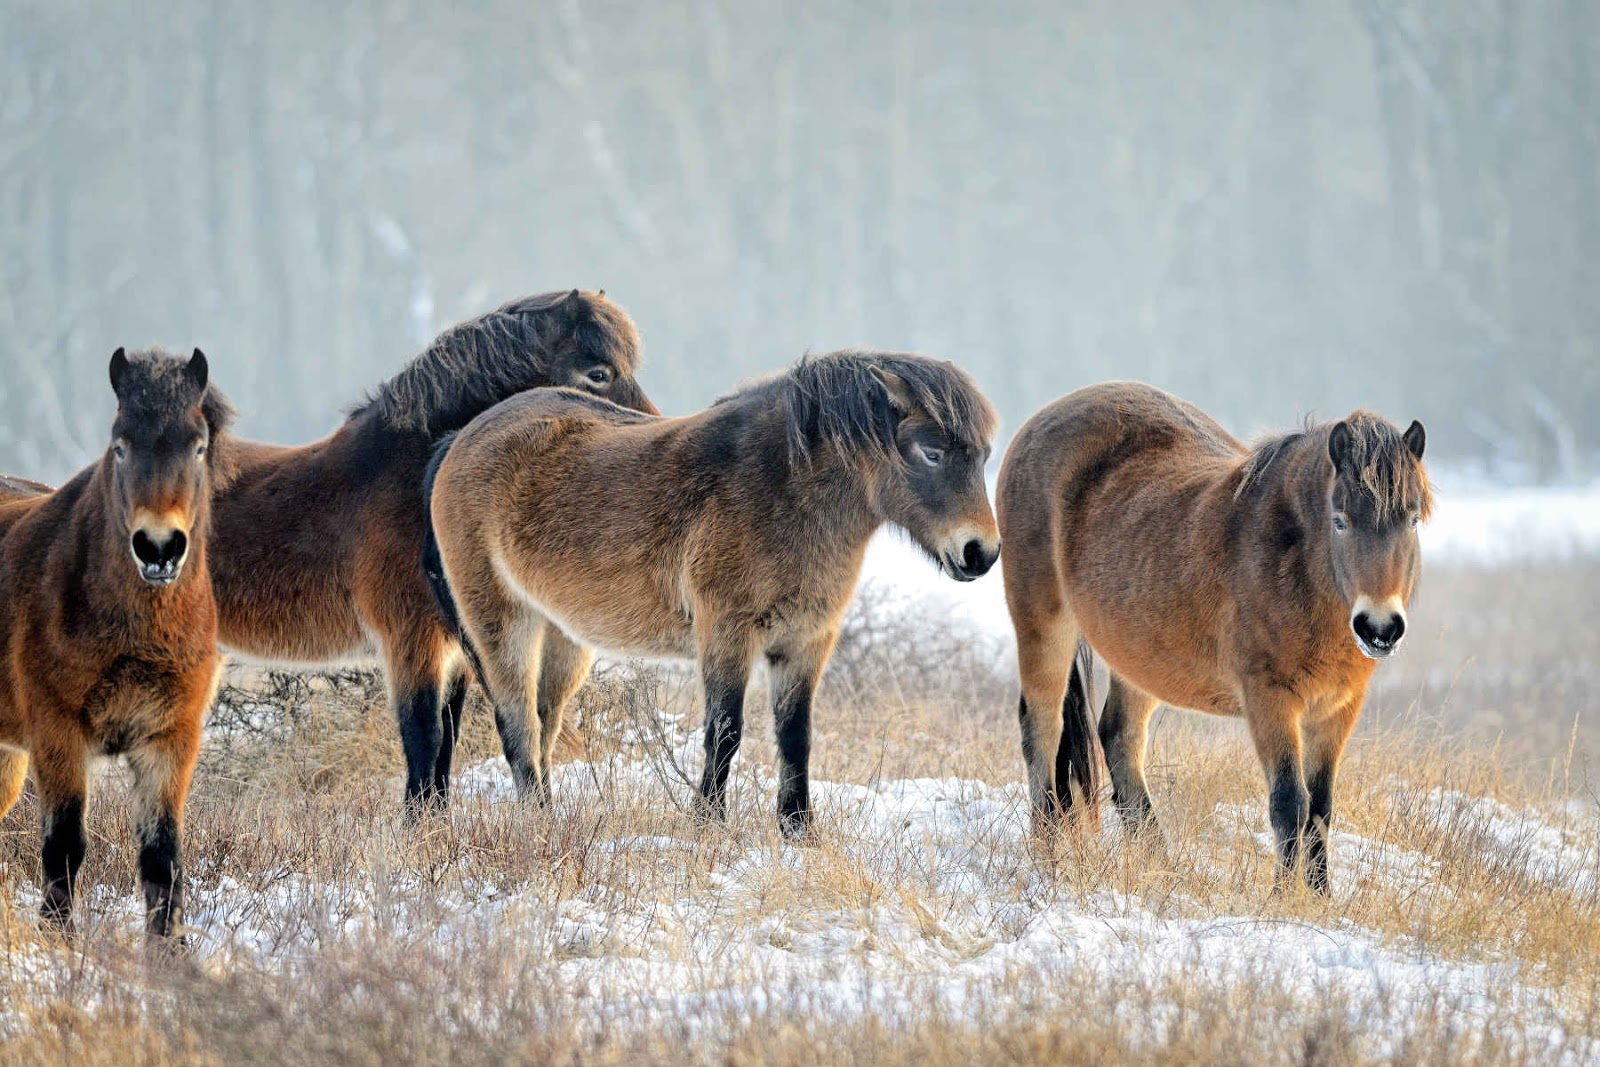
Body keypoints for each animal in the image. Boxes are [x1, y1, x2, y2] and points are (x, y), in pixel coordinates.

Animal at [0, 347, 233, 940]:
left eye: (198, 445)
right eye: (120, 445)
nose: (159, 547)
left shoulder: (169, 740)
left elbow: (161, 860)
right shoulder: (58, 734)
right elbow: (64, 848)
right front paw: (59, 944)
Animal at [207, 290, 656, 817]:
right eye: (598, 373)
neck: (407, 476)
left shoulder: (455, 648)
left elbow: (447, 740)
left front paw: (433, 820)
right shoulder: (410, 638)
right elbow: (424, 734)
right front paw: (415, 823)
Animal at [423, 349, 1001, 836]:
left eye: (983, 456)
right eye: (931, 452)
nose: (981, 552)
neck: (780, 490)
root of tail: (461, 440)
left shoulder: (806, 642)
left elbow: (796, 737)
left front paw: (798, 830)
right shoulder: (727, 634)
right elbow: (724, 732)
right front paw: (709, 823)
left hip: (563, 637)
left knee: (544, 721)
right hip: (502, 622)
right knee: (516, 719)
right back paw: (538, 819)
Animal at [997, 382, 1429, 893]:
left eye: (1412, 520)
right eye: (1339, 519)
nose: (1379, 627)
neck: (1293, 563)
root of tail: (1039, 424)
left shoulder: (1337, 709)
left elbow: (1320, 808)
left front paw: (1321, 896)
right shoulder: (1269, 700)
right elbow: (1290, 803)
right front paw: (1283, 898)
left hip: (1138, 658)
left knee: (1119, 737)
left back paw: (1159, 863)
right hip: (1043, 623)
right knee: (1042, 729)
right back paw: (1048, 854)